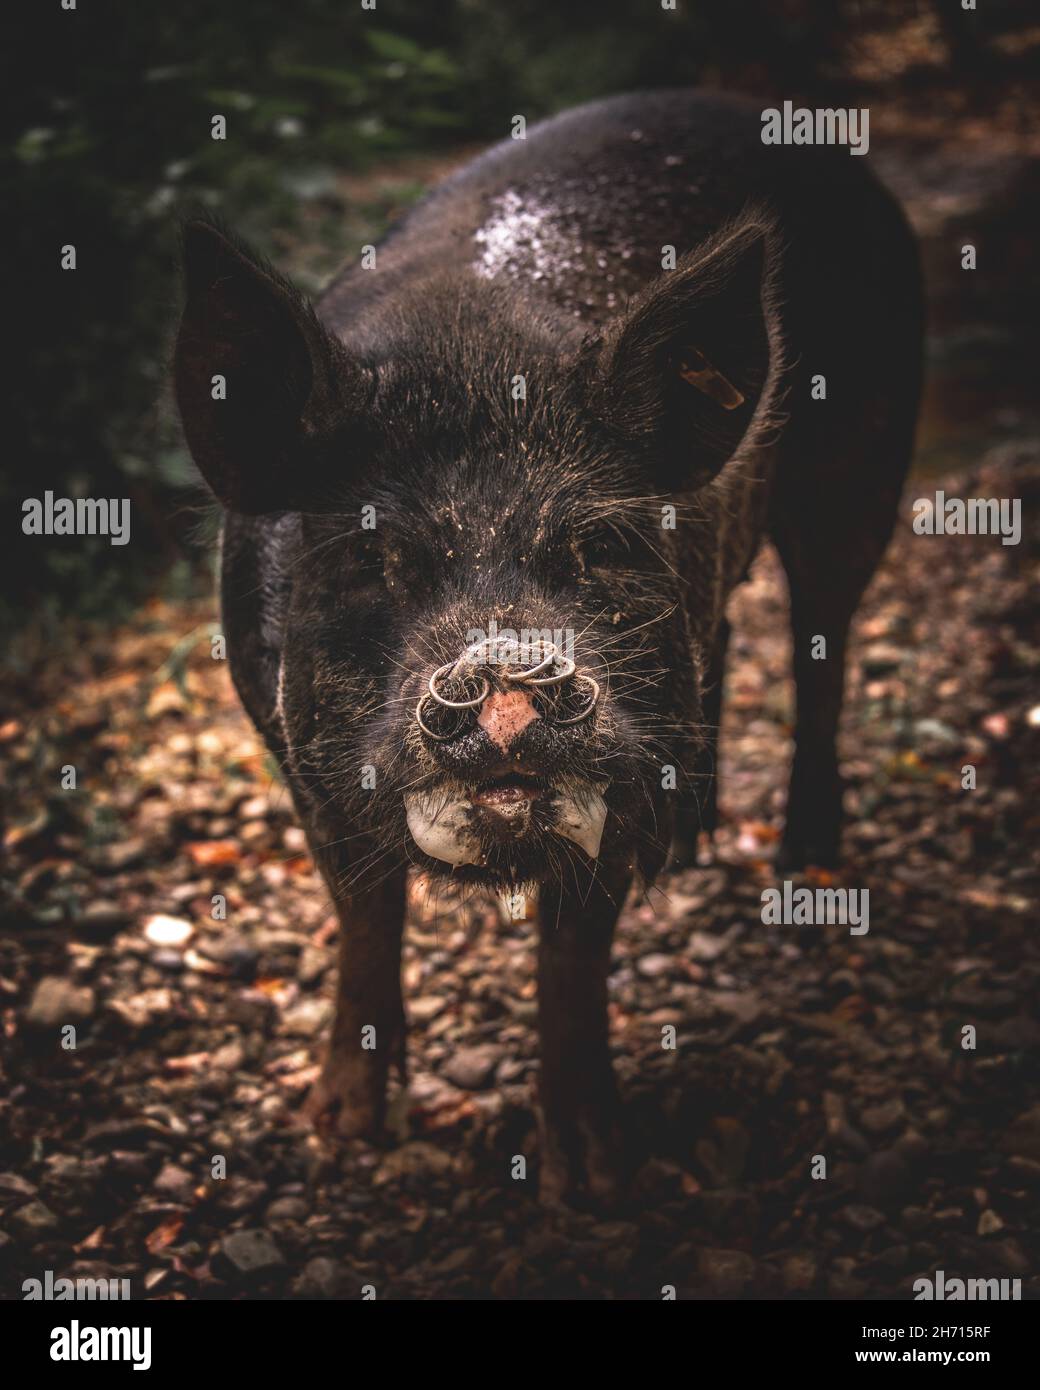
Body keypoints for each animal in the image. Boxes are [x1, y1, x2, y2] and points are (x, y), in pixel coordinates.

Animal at [174, 90, 922, 1203]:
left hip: (863, 463)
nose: (507, 679)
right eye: (375, 552)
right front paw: (344, 1132)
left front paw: (592, 1174)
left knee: (820, 640)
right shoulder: (293, 753)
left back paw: (809, 865)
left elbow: (573, 954)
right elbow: (365, 915)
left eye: (594, 543)